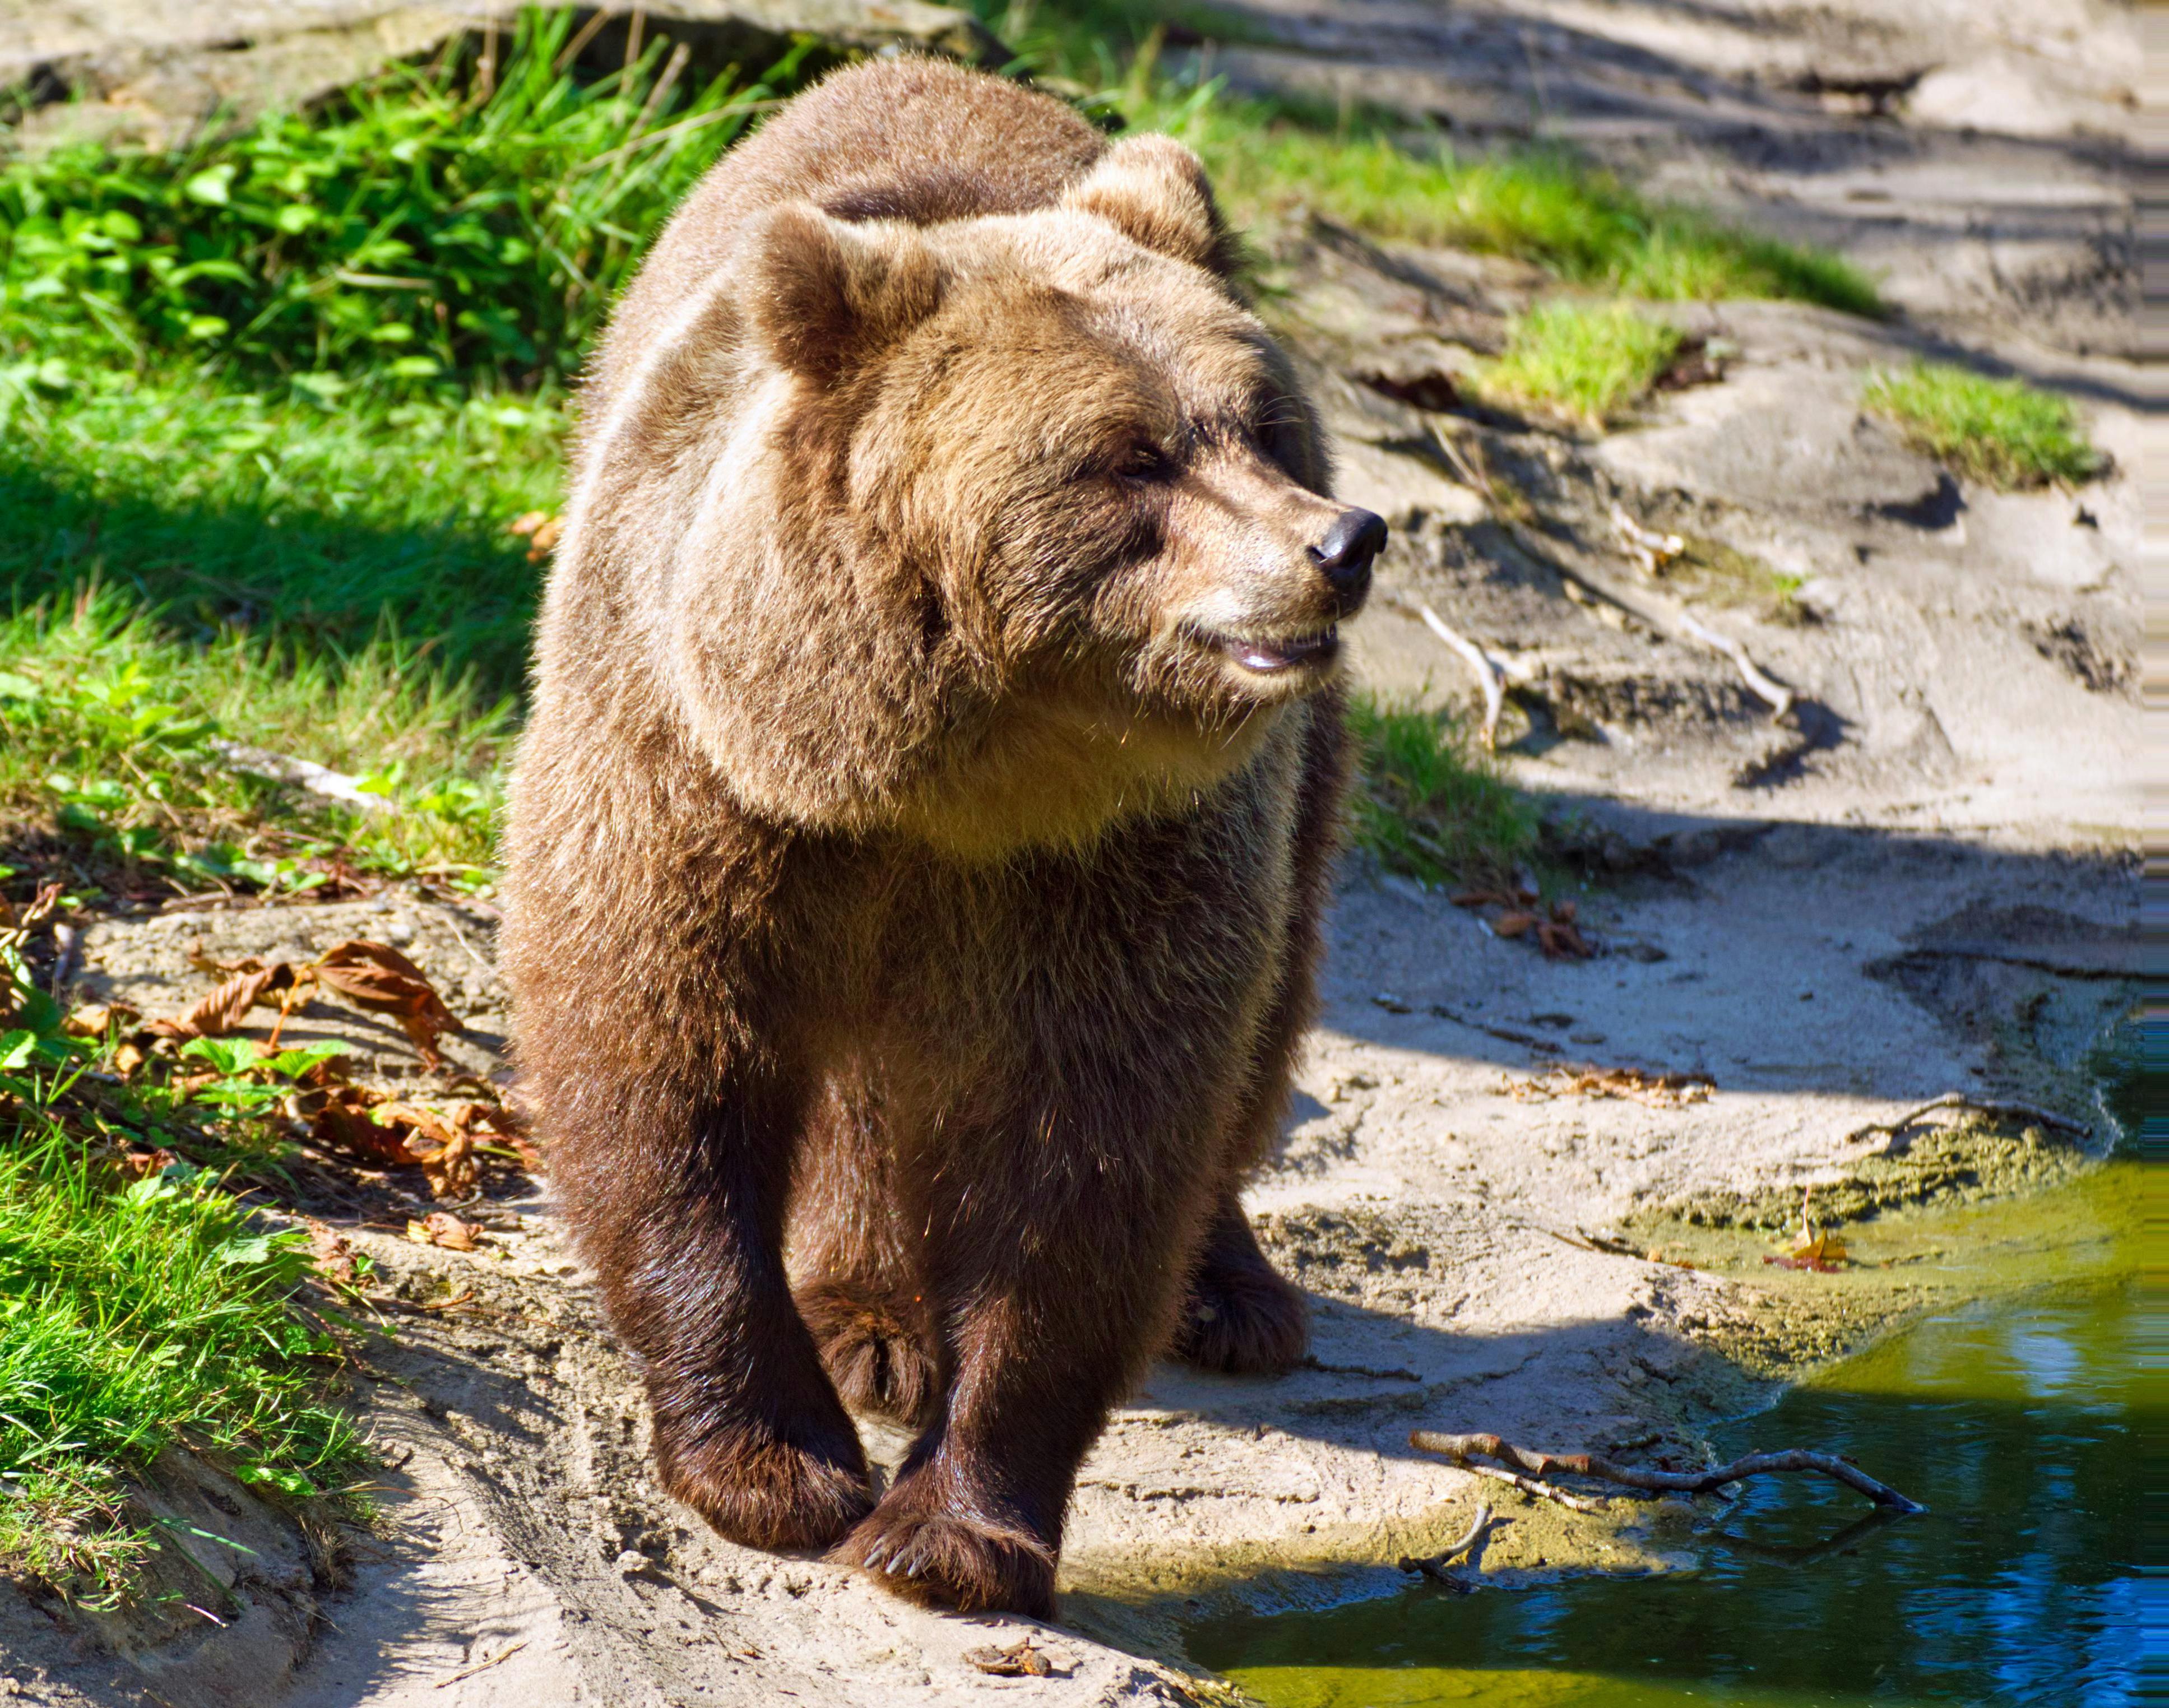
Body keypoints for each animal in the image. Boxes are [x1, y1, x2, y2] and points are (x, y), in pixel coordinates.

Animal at [500, 56, 1384, 1619]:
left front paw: (954, 1532)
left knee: (1272, 1002)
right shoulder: (702, 780)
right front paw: (772, 1463)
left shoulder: (1118, 866)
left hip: (1300, 781)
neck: (951, 772)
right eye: (1129, 457)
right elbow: (656, 1061)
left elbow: (1091, 1157)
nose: (1339, 542)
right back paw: (867, 1319)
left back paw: (1230, 1291)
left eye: (1259, 428)